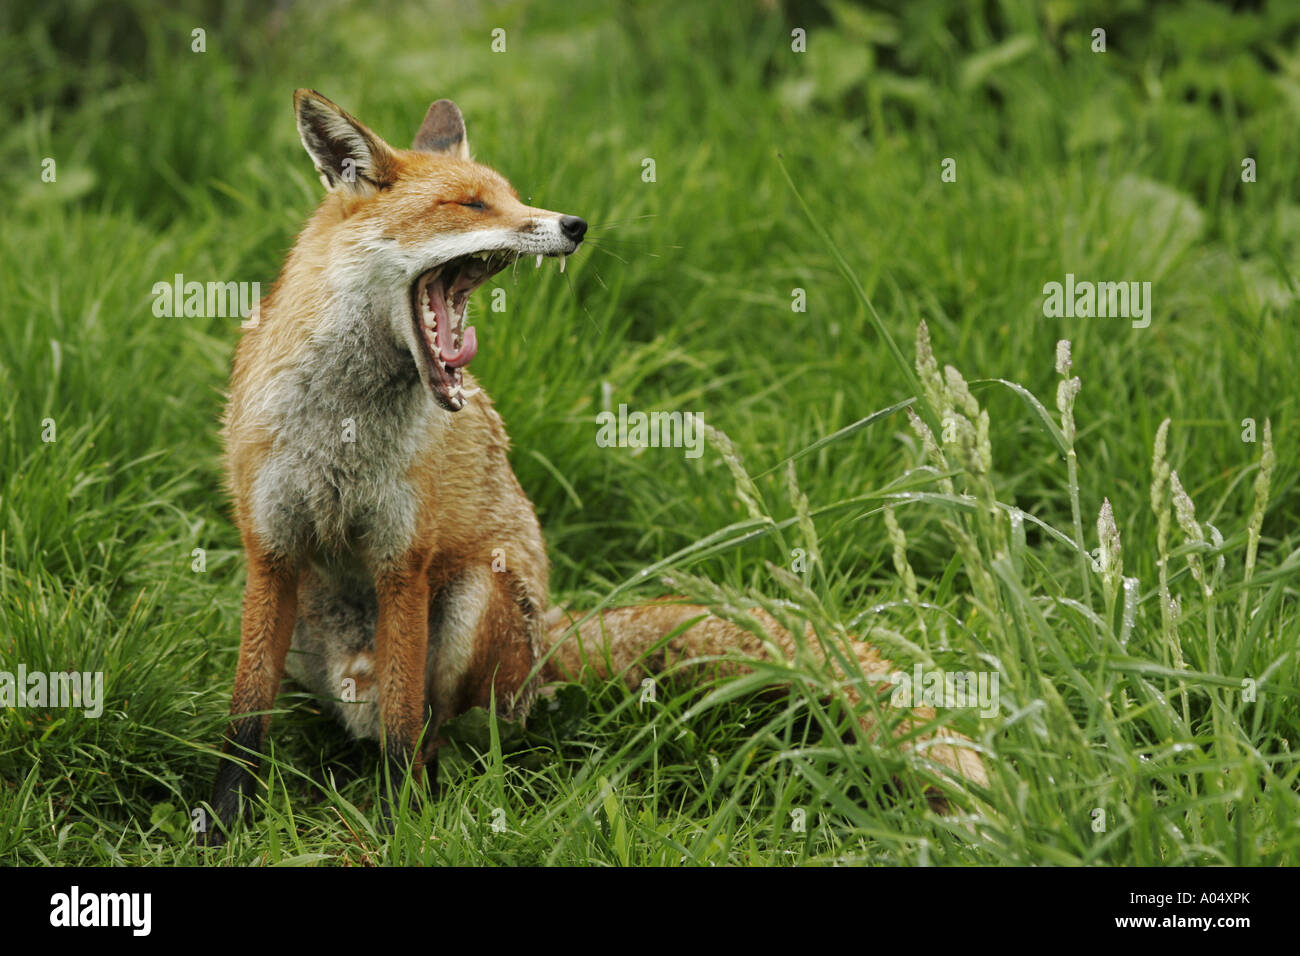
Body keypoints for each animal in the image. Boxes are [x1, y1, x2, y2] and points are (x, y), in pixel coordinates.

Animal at [204, 90, 986, 844]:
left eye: (512, 196)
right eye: (471, 204)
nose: (574, 224)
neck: (343, 426)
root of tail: (551, 635)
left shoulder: (405, 560)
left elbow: (402, 729)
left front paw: (398, 829)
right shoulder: (270, 549)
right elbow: (245, 719)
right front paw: (221, 825)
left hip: (477, 598)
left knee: (450, 734)